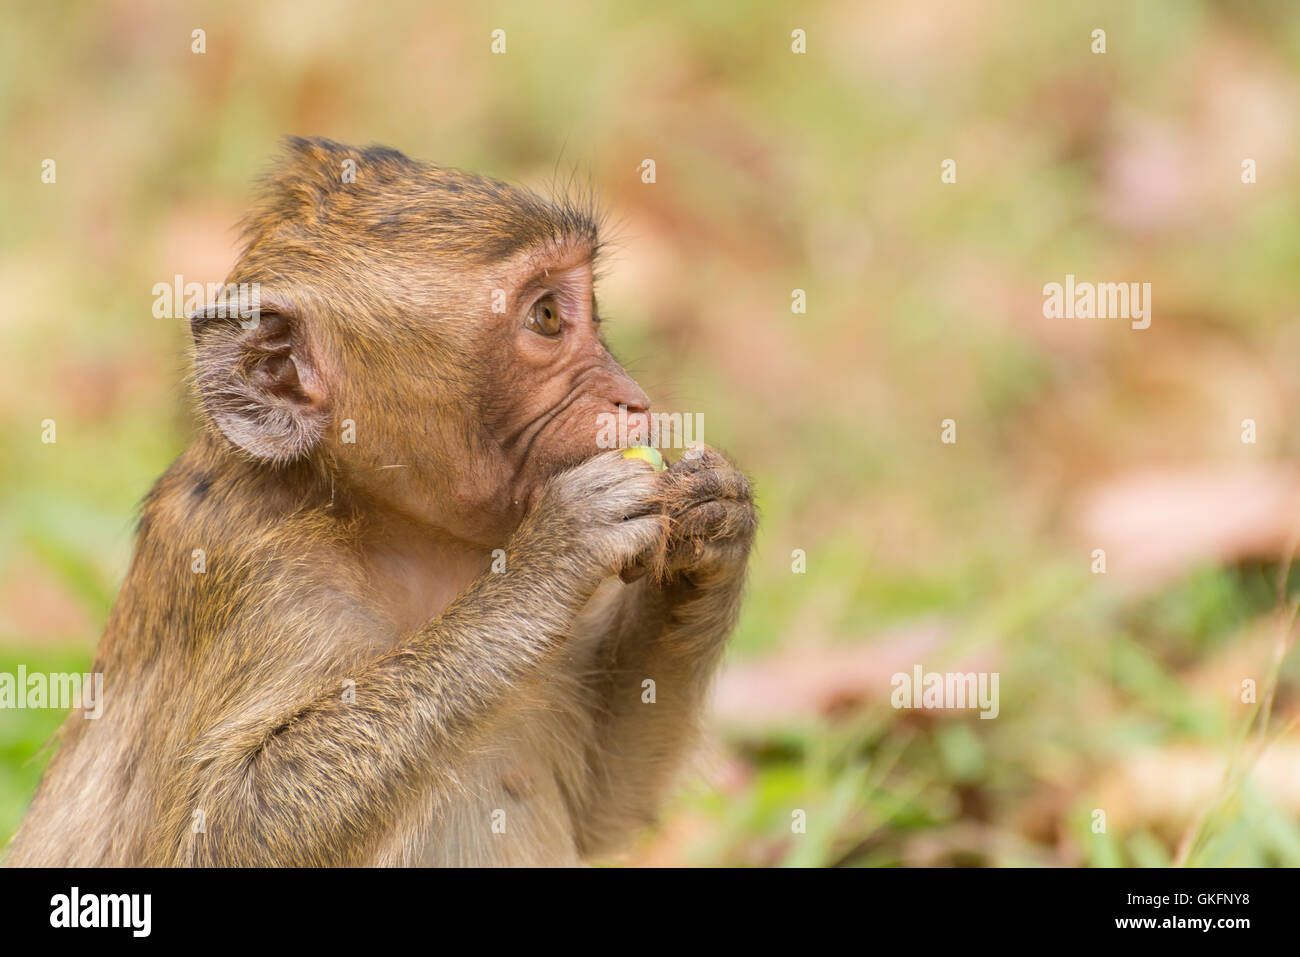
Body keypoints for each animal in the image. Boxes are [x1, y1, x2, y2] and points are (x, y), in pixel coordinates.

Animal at [4, 137, 756, 867]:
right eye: (546, 316)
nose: (635, 400)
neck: (396, 533)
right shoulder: (244, 564)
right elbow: (219, 830)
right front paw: (555, 553)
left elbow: (604, 798)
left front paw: (718, 516)